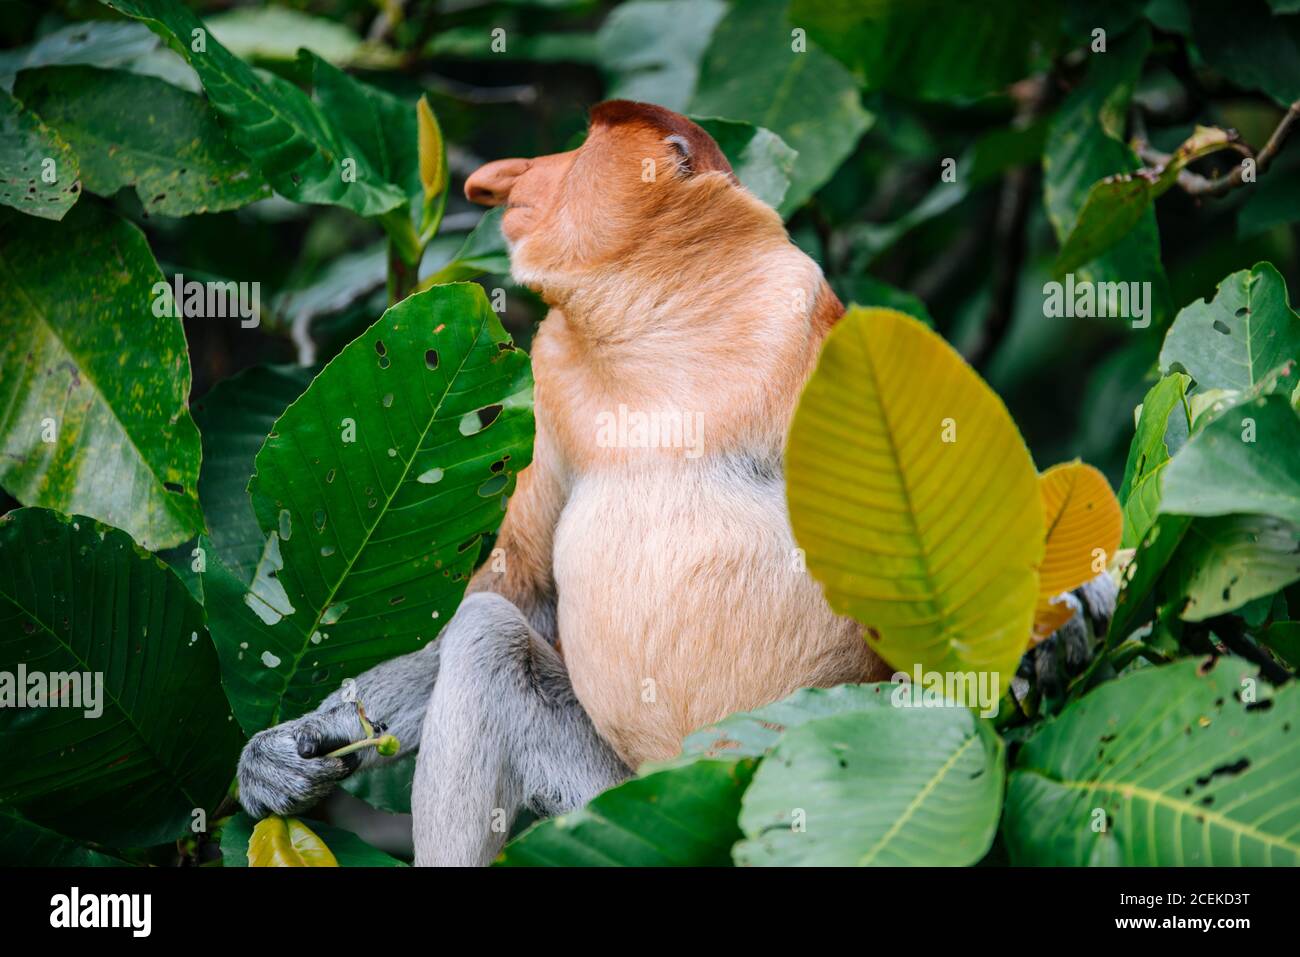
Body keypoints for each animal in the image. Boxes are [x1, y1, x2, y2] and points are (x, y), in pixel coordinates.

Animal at [237, 101, 1116, 866]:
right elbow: (522, 589)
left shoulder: (816, 330)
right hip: (613, 793)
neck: (659, 327)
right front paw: (286, 749)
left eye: (583, 143)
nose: (499, 181)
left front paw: (1072, 610)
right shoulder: (549, 381)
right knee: (490, 644)